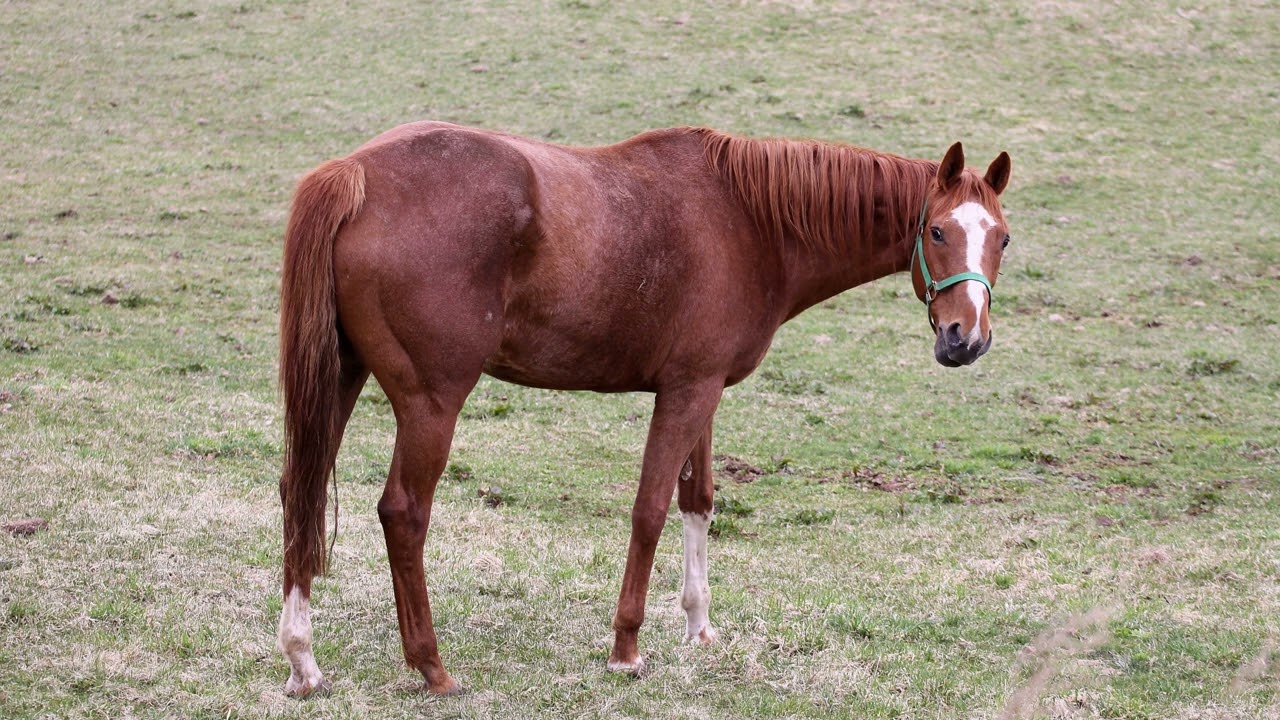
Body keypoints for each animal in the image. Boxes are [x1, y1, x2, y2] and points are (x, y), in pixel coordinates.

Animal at [274, 121, 1012, 696]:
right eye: (937, 230)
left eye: (1001, 238)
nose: (965, 339)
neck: (750, 221)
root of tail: (354, 174)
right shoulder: (687, 391)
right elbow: (651, 509)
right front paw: (626, 648)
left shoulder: (703, 389)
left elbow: (699, 501)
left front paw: (698, 625)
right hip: (433, 402)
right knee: (403, 513)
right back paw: (431, 667)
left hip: (339, 377)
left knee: (299, 490)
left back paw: (303, 661)